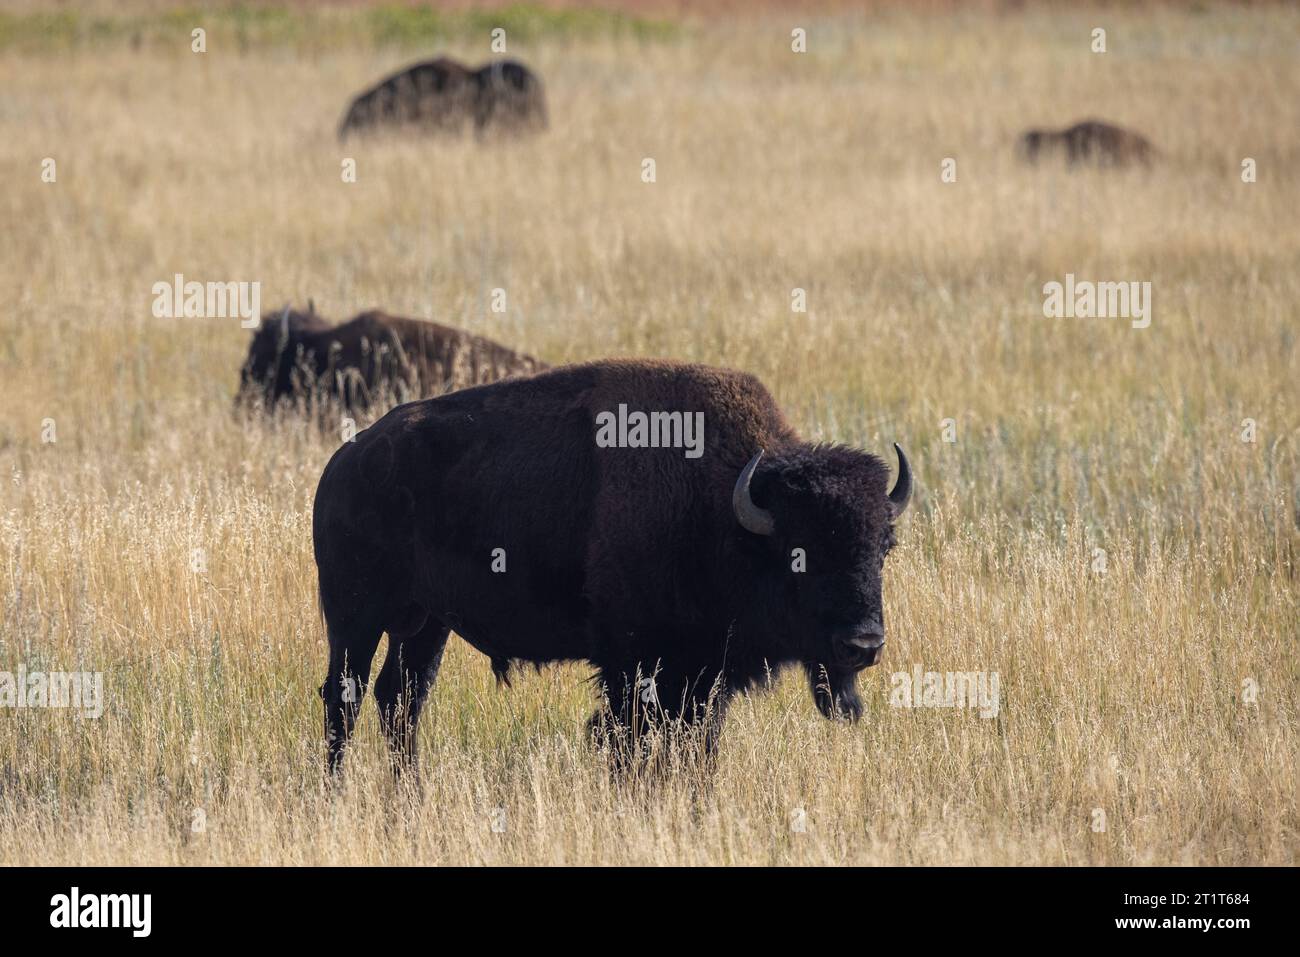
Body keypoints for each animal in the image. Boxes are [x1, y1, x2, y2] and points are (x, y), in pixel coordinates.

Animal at [312, 359, 913, 772]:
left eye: (883, 546)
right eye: (799, 554)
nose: (862, 645)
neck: (723, 511)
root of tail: (346, 460)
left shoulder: (702, 677)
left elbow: (696, 746)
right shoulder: (633, 667)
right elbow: (628, 740)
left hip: (427, 624)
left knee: (400, 700)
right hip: (354, 619)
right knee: (345, 700)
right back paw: (337, 793)